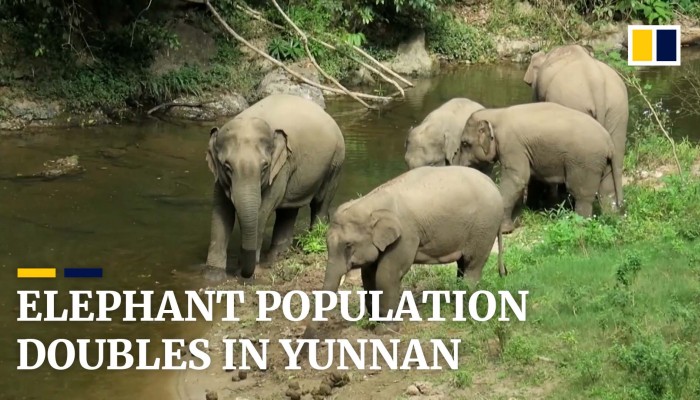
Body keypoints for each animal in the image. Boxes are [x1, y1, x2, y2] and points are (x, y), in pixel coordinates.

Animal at [205, 94, 346, 279]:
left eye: (265, 167)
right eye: (227, 167)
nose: (242, 271)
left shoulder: (280, 168)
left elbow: (262, 210)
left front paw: (243, 272)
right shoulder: (218, 176)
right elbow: (221, 212)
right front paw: (213, 275)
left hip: (336, 161)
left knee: (320, 202)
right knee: (288, 211)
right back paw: (277, 256)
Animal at [302, 166, 507, 339]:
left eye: (348, 245)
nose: (305, 340)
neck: (371, 204)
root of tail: (493, 184)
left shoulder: (405, 236)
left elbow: (387, 275)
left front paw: (385, 330)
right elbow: (368, 276)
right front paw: (372, 322)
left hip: (484, 227)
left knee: (473, 265)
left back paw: (465, 306)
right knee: (462, 265)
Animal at [455, 102, 622, 234]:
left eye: (464, 143)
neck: (496, 113)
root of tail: (610, 143)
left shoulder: (512, 145)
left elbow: (517, 179)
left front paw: (504, 231)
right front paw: (518, 220)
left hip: (585, 162)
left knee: (582, 194)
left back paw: (580, 226)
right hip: (602, 163)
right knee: (607, 192)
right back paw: (611, 221)